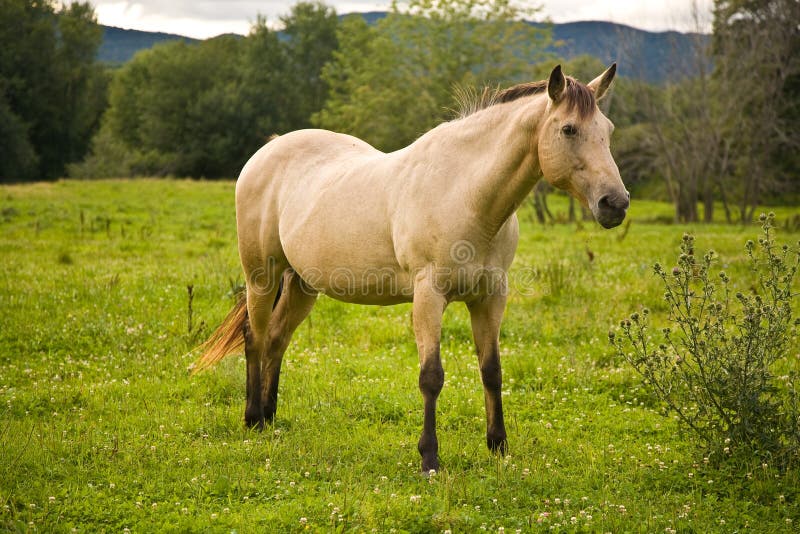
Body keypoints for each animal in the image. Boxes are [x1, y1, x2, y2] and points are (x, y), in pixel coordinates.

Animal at [194, 64, 629, 472]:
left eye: (607, 129)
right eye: (569, 129)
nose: (616, 203)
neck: (465, 194)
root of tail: (267, 151)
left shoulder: (490, 297)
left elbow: (491, 370)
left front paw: (498, 446)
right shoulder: (428, 296)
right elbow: (431, 376)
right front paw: (429, 458)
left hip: (302, 285)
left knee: (277, 339)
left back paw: (269, 418)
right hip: (261, 276)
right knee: (255, 337)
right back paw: (253, 419)